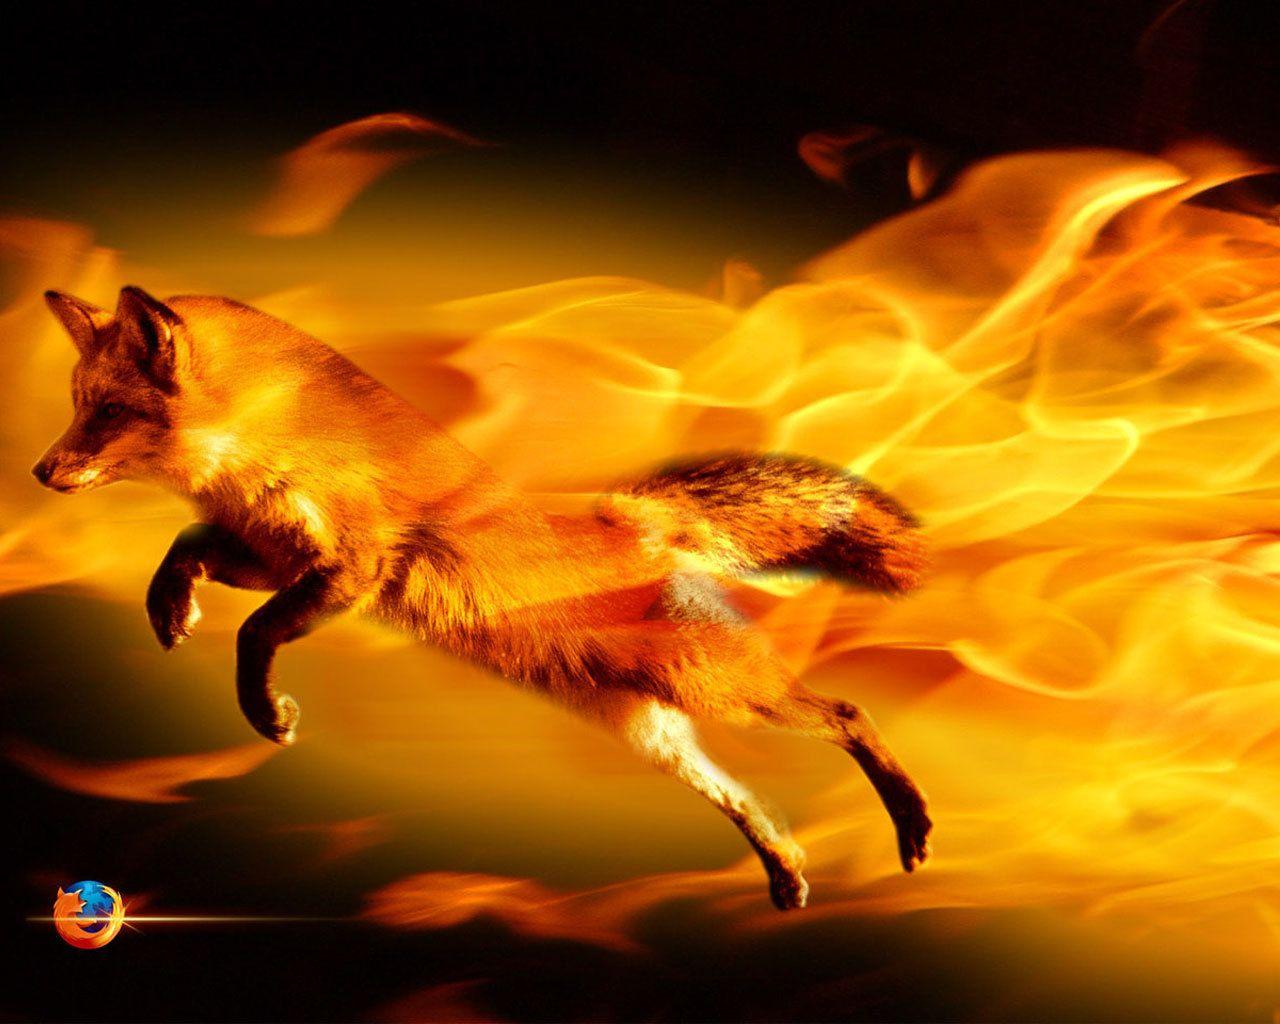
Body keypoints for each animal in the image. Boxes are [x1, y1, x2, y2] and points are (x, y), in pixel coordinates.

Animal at [32, 285, 932, 909]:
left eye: (107, 411)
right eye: (78, 405)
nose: (40, 472)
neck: (268, 441)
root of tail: (635, 518)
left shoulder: (353, 565)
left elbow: (255, 633)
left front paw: (264, 712)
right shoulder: (267, 550)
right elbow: (185, 550)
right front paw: (168, 609)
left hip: (719, 688)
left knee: (847, 713)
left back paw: (913, 824)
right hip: (653, 732)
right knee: (748, 803)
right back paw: (785, 873)